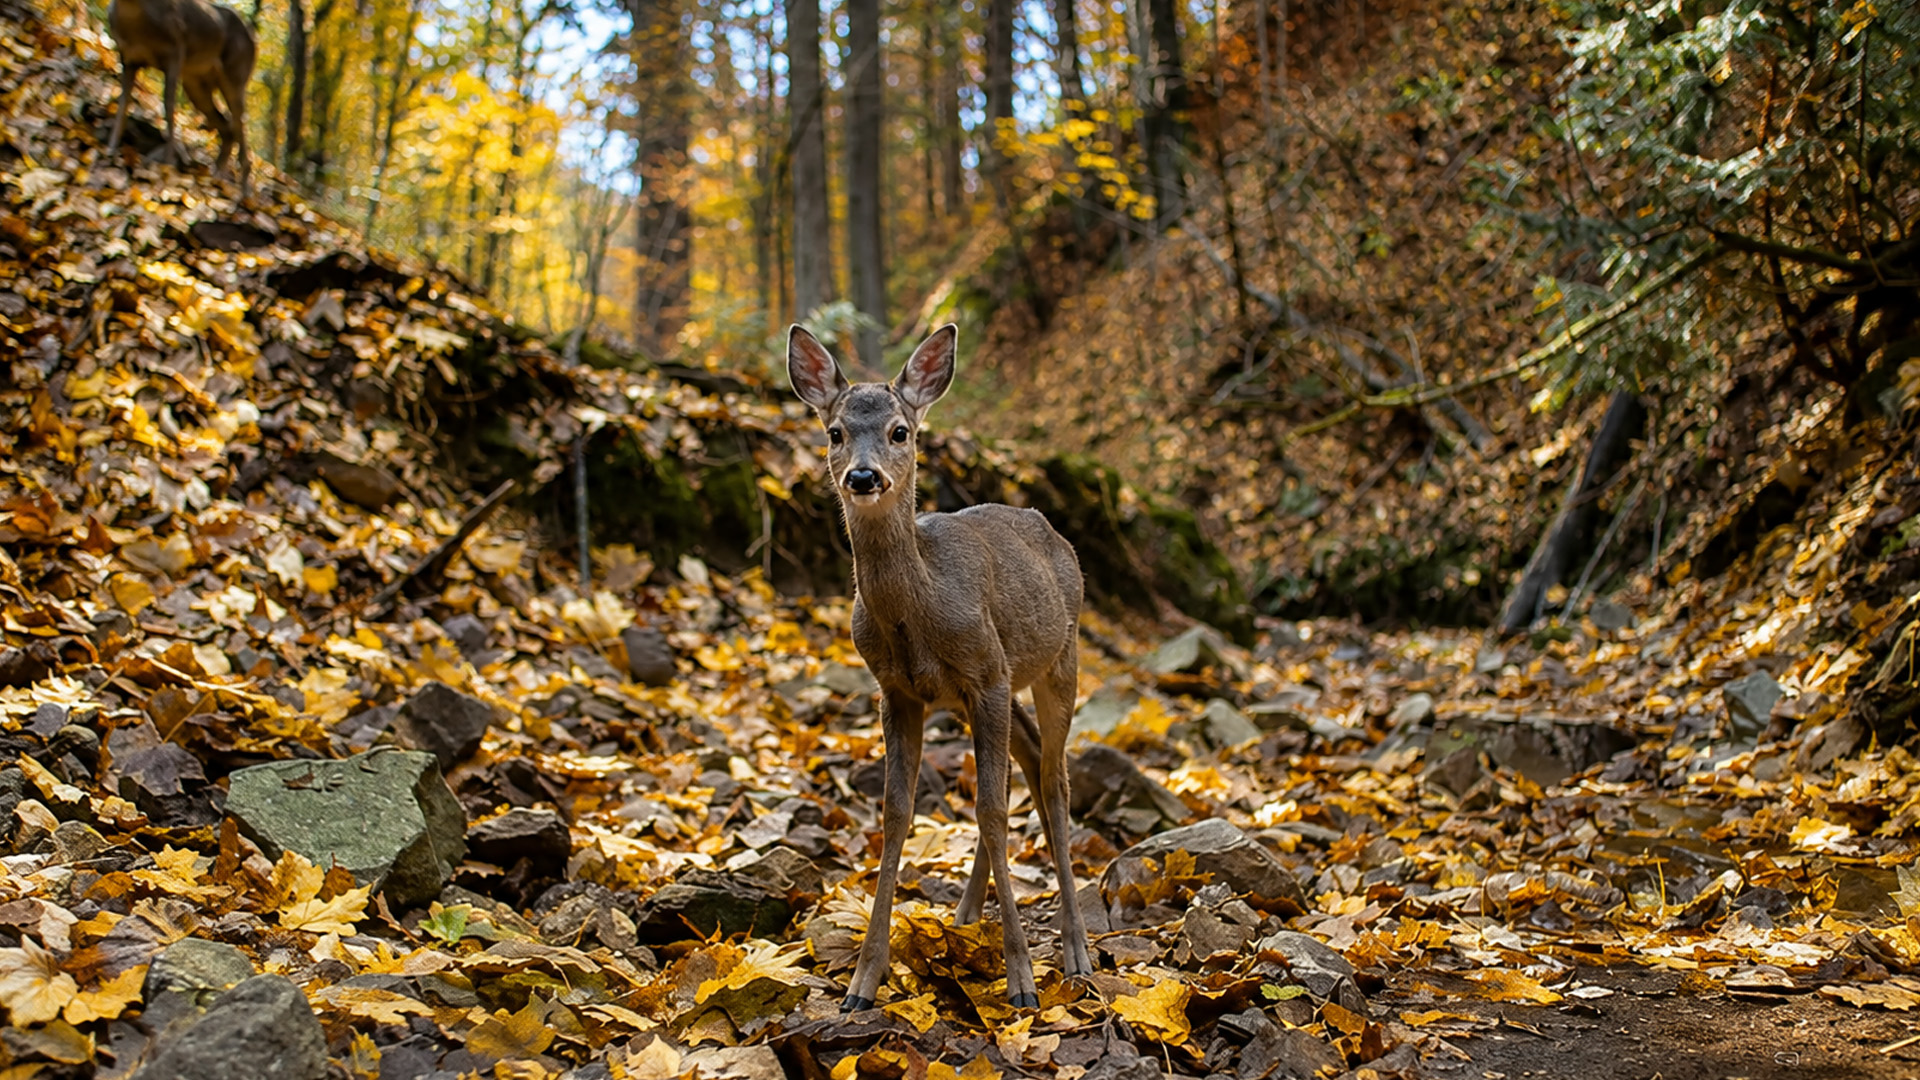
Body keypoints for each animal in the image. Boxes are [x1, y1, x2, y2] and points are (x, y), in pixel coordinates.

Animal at [104, 0, 256, 201]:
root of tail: (254, 36)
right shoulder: (129, 57)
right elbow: (123, 105)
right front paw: (111, 149)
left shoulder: (176, 52)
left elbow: (169, 108)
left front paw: (167, 164)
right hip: (195, 83)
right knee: (226, 124)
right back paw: (215, 174)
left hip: (236, 76)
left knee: (241, 123)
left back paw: (245, 191)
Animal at [787, 324, 1095, 1012]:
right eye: (835, 432)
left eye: (900, 430)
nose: (864, 475)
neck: (919, 613)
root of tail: (1056, 534)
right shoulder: (899, 690)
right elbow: (897, 813)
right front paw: (862, 983)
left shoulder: (987, 673)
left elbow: (992, 810)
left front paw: (1022, 980)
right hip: (983, 686)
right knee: (1028, 757)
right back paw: (965, 916)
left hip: (1058, 658)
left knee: (1055, 779)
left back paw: (1077, 951)